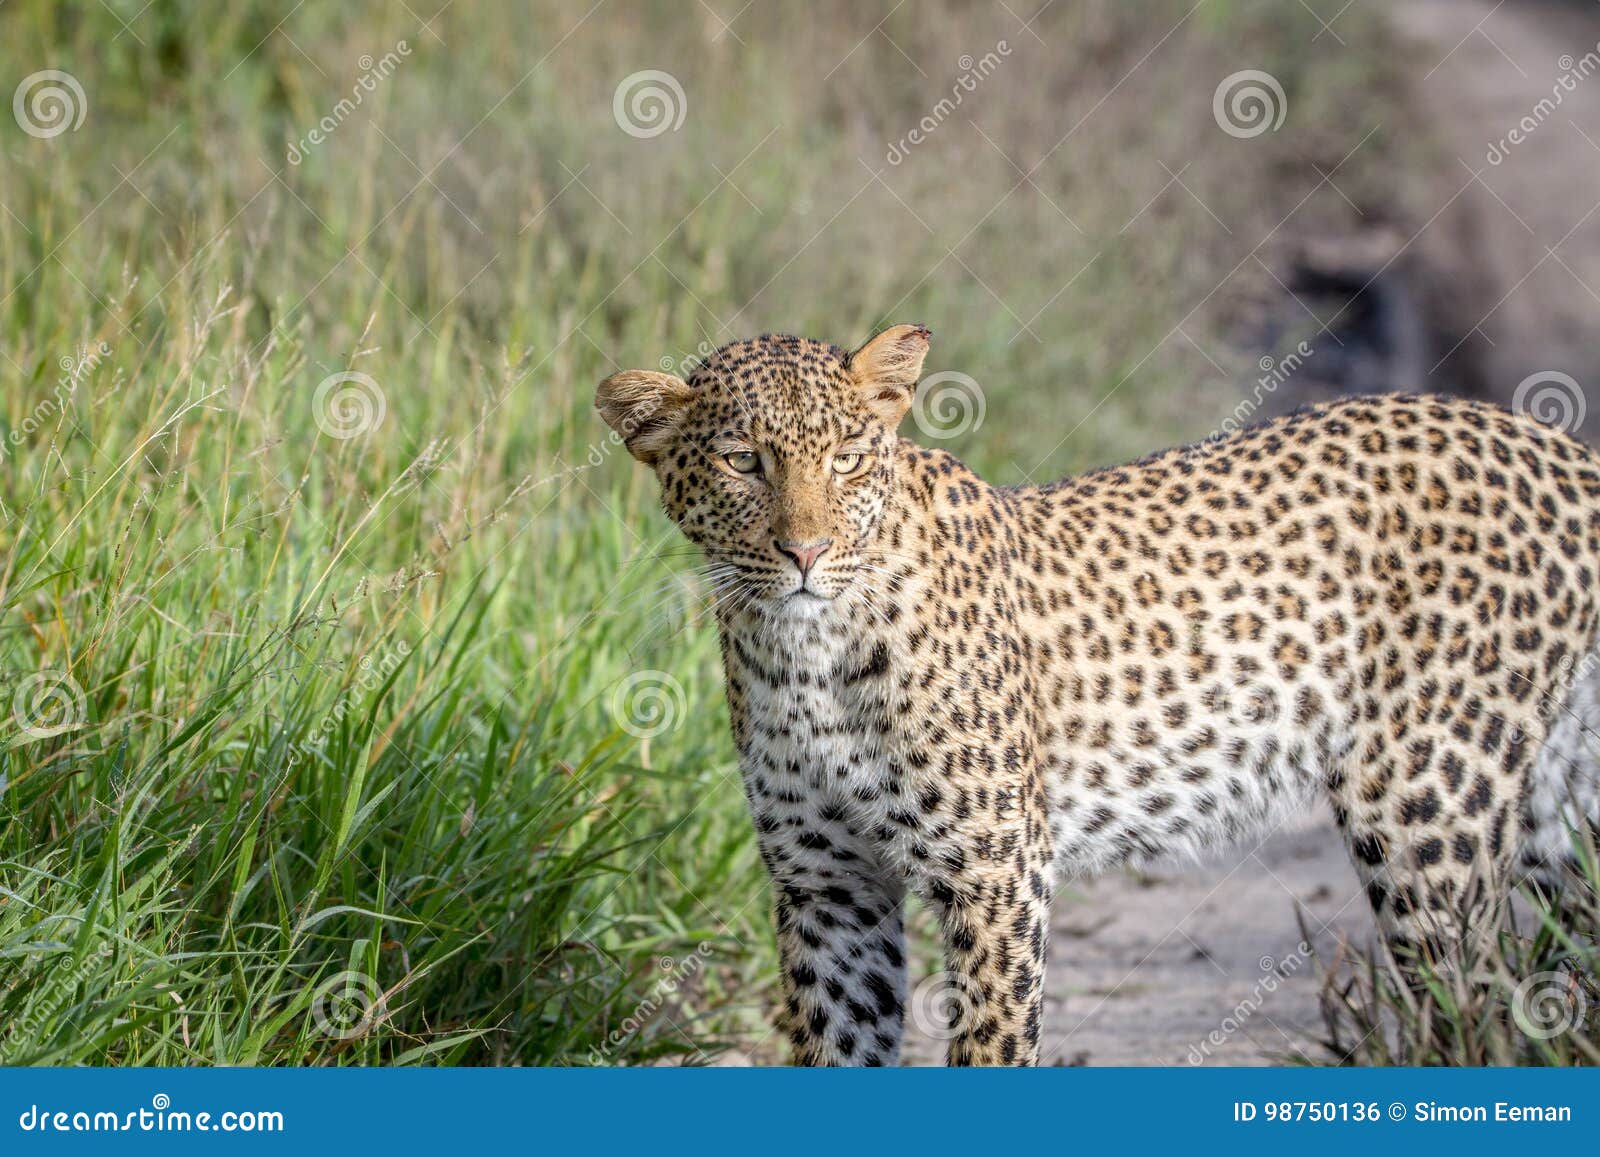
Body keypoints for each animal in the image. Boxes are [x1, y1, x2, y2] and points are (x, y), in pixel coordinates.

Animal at [596, 324, 1600, 1066]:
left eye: (845, 458)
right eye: (741, 461)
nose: (805, 552)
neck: (803, 655)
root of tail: (1555, 444)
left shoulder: (994, 873)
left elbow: (990, 1048)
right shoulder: (828, 886)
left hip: (1428, 810)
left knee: (1477, 1010)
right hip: (1554, 804)